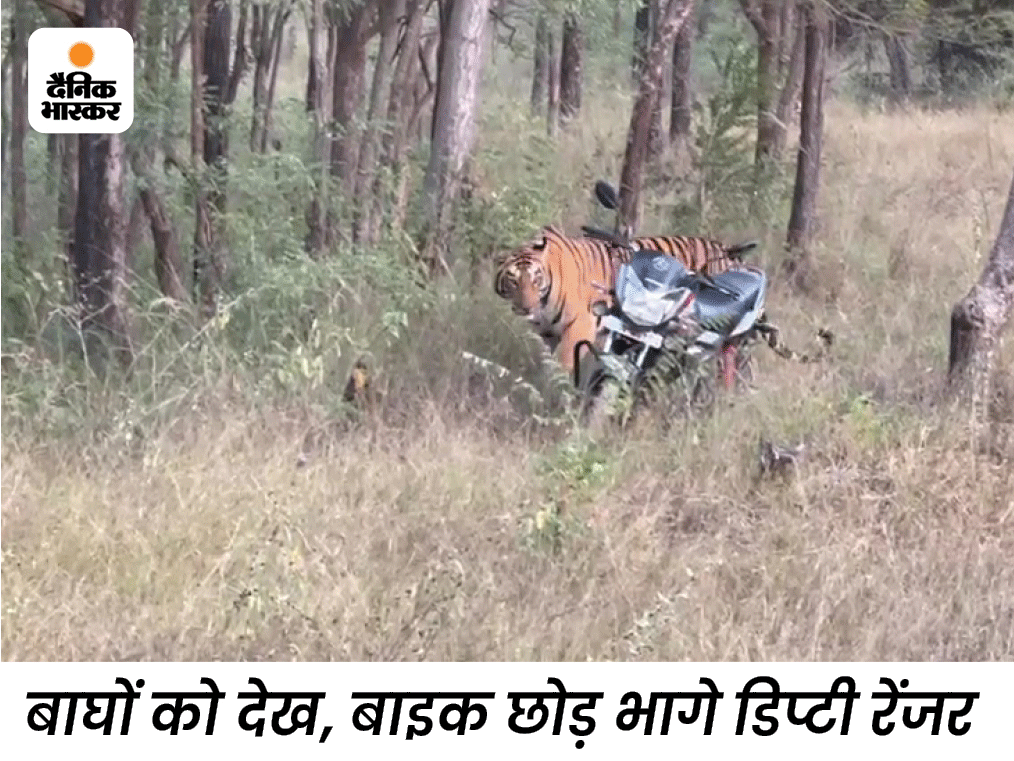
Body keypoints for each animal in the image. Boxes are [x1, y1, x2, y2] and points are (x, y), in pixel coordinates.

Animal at [493, 224, 758, 386]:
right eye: (513, 280)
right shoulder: (549, 334)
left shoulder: (578, 326)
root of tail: (729, 251)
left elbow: (564, 363)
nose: (526, 308)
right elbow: (548, 364)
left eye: (535, 279)